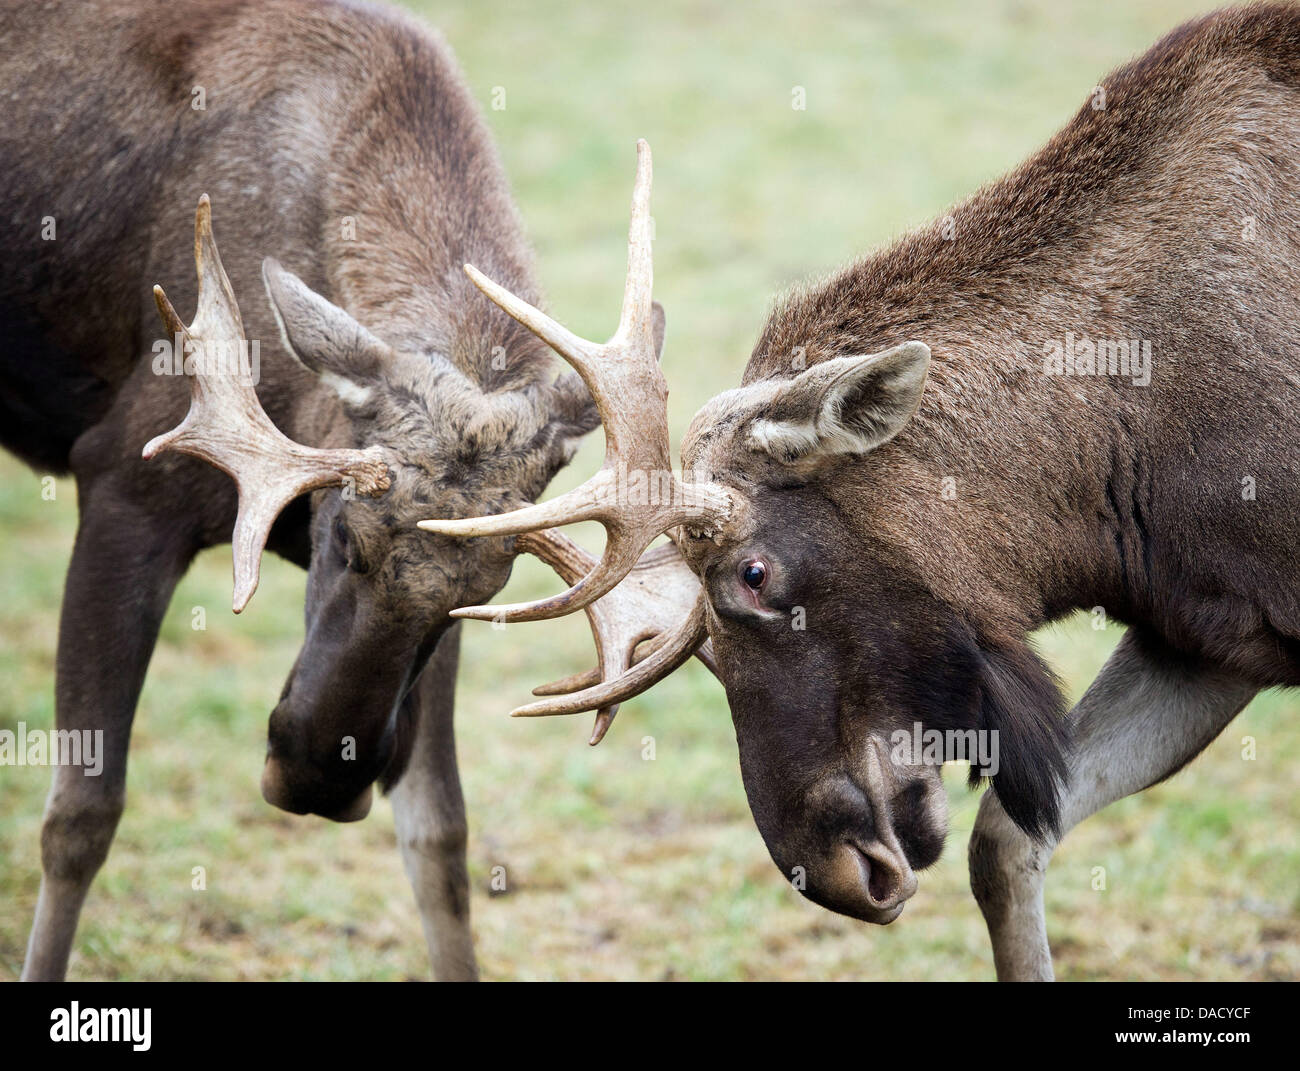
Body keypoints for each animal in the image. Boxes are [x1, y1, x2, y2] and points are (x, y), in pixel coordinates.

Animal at [1, 0, 703, 980]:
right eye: (344, 535)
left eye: (491, 588)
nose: (316, 776)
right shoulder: (124, 479)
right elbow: (79, 817)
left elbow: (439, 836)